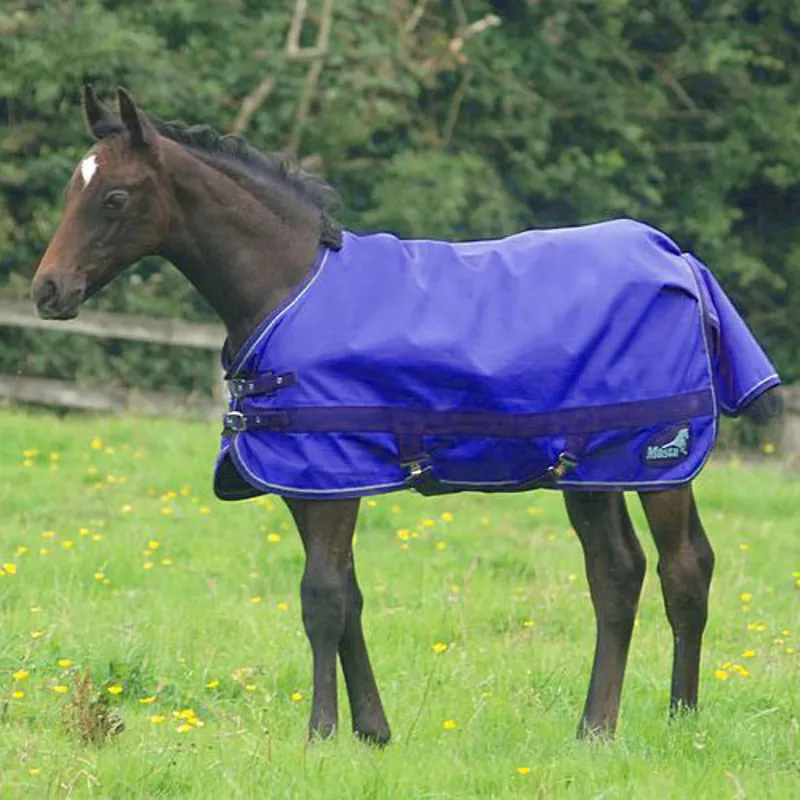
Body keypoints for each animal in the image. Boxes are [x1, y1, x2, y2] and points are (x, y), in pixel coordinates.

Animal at [31, 86, 780, 746]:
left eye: (115, 197)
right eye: (70, 189)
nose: (47, 291)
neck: (288, 287)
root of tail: (677, 258)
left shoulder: (334, 475)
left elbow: (322, 598)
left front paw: (320, 733)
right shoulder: (304, 481)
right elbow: (349, 597)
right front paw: (372, 730)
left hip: (658, 462)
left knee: (683, 569)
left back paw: (680, 722)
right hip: (590, 470)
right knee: (617, 573)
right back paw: (595, 729)